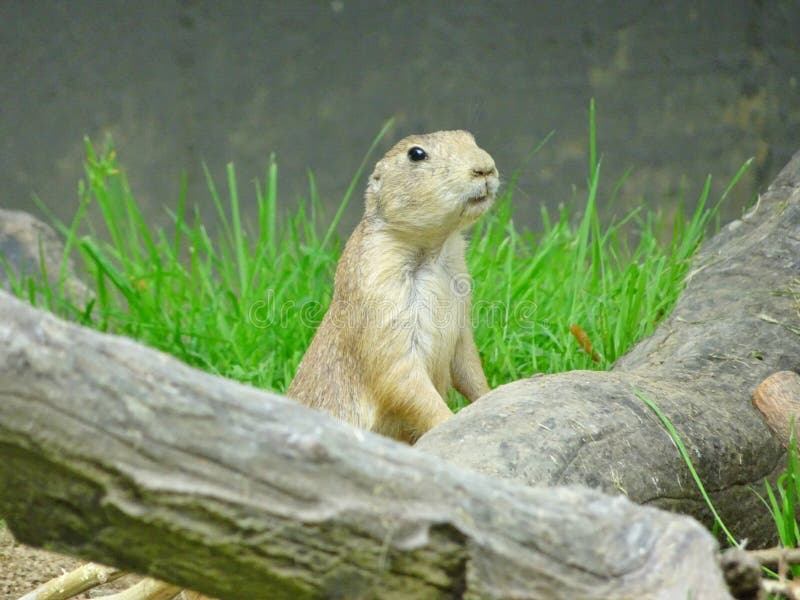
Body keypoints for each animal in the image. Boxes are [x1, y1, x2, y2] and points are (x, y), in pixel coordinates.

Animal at [287, 130, 498, 443]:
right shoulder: (382, 297)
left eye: (469, 138)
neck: (434, 250)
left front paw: (491, 397)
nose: (485, 168)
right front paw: (450, 422)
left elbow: (468, 364)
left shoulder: (460, 313)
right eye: (416, 154)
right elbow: (402, 376)